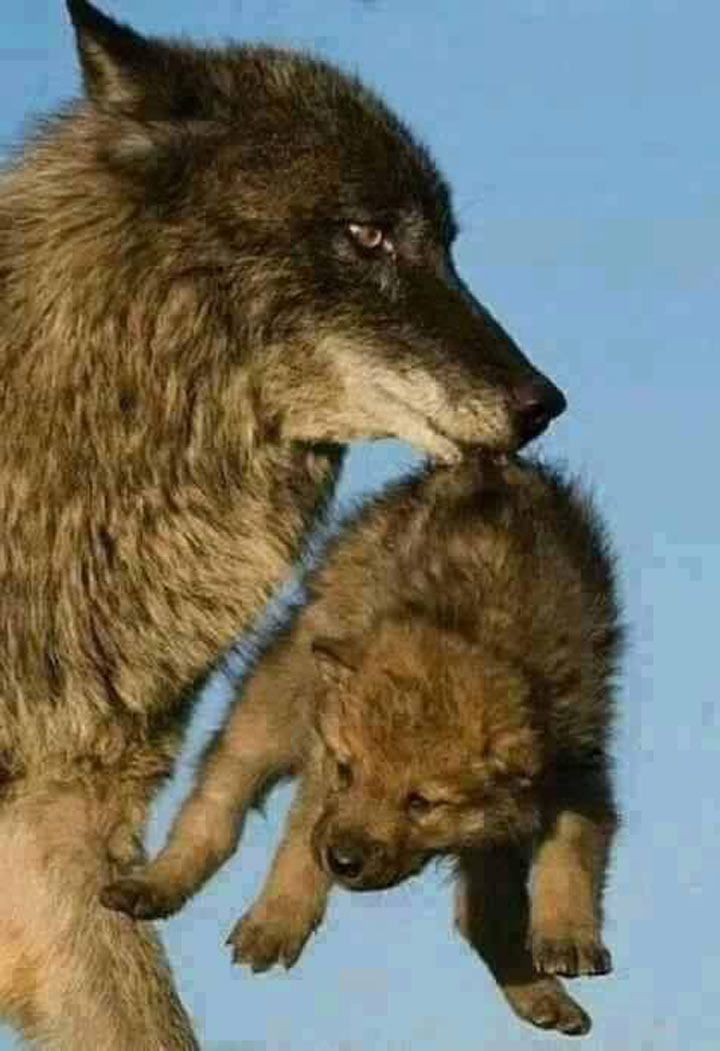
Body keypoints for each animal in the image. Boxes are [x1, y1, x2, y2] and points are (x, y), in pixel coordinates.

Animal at [103, 455, 623, 1038]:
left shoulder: (580, 764)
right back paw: (156, 882)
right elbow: (298, 839)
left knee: (480, 917)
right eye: (348, 772)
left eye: (420, 802)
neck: (478, 630)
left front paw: (567, 934)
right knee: (214, 807)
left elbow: (572, 852)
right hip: (275, 703)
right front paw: (278, 918)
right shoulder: (321, 765)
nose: (343, 861)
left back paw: (541, 995)